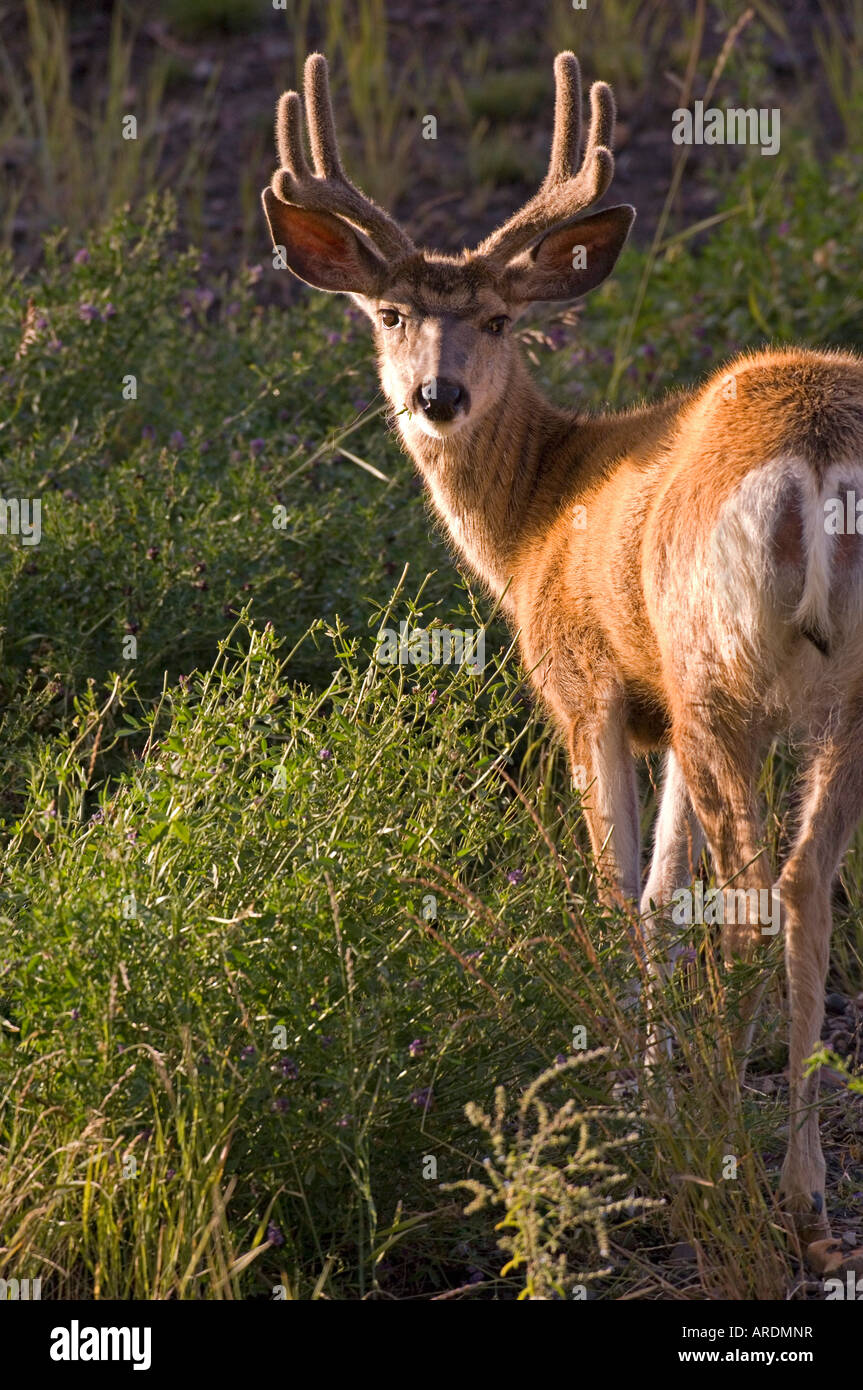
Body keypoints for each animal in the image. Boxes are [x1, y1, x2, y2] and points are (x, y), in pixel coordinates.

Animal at [261, 51, 863, 1261]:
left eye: (498, 318)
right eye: (391, 312)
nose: (434, 396)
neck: (536, 519)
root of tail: (818, 455)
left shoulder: (587, 688)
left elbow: (618, 893)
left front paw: (634, 1105)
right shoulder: (657, 713)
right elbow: (659, 901)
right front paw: (647, 1090)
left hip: (717, 672)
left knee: (754, 892)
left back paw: (750, 1163)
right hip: (827, 692)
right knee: (805, 883)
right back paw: (803, 1187)